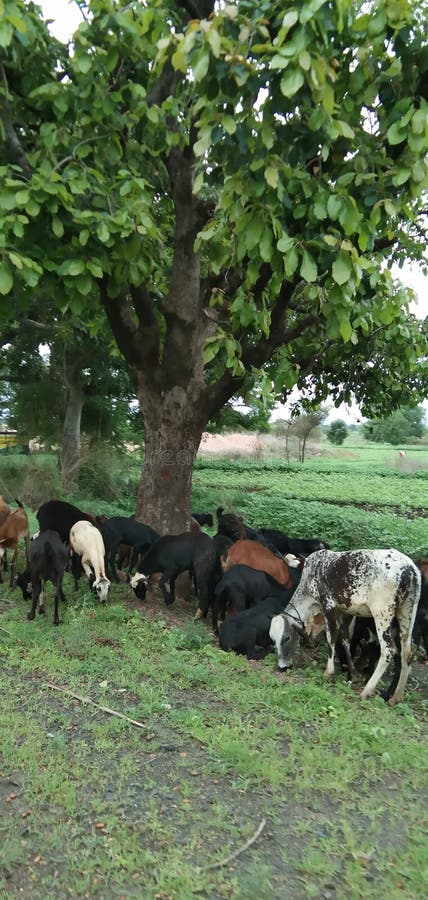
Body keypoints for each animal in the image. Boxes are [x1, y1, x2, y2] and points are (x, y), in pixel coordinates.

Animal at [269, 549, 421, 705]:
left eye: (287, 638)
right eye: (273, 640)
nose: (282, 666)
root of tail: (409, 568)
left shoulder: (328, 606)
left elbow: (331, 638)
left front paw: (329, 671)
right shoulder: (346, 612)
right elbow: (345, 639)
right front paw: (351, 675)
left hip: (382, 614)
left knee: (388, 650)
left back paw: (367, 691)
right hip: (407, 611)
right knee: (407, 653)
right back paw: (397, 696)